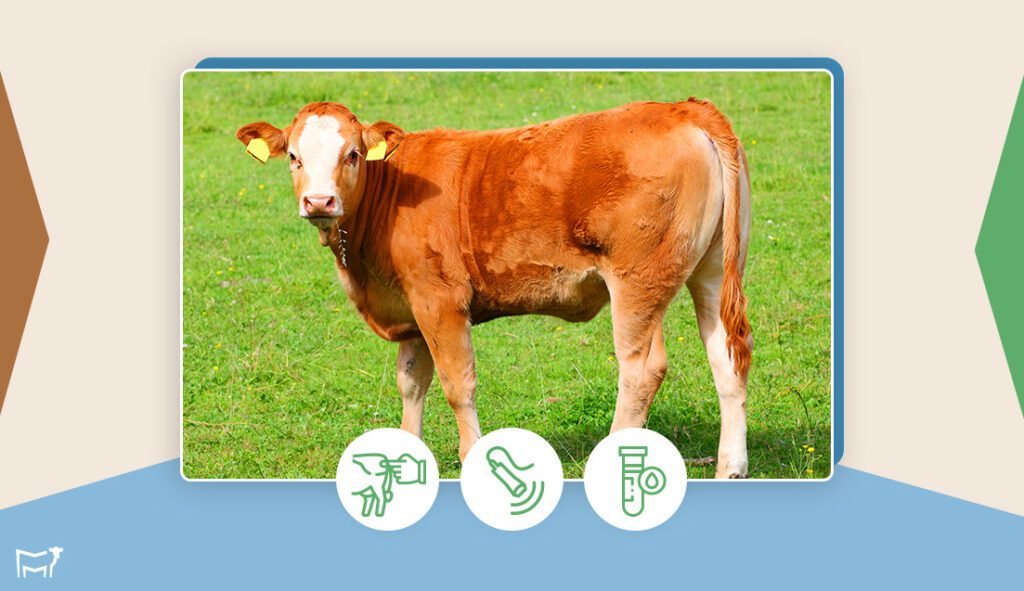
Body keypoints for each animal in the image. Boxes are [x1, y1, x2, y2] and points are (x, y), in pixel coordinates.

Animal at [236, 97, 753, 478]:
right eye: (294, 158)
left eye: (353, 155)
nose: (319, 201)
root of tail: (683, 108)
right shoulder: (410, 307)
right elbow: (411, 382)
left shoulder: (439, 300)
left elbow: (456, 382)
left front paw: (472, 458)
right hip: (711, 272)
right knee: (726, 358)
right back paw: (731, 466)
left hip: (638, 281)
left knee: (641, 370)